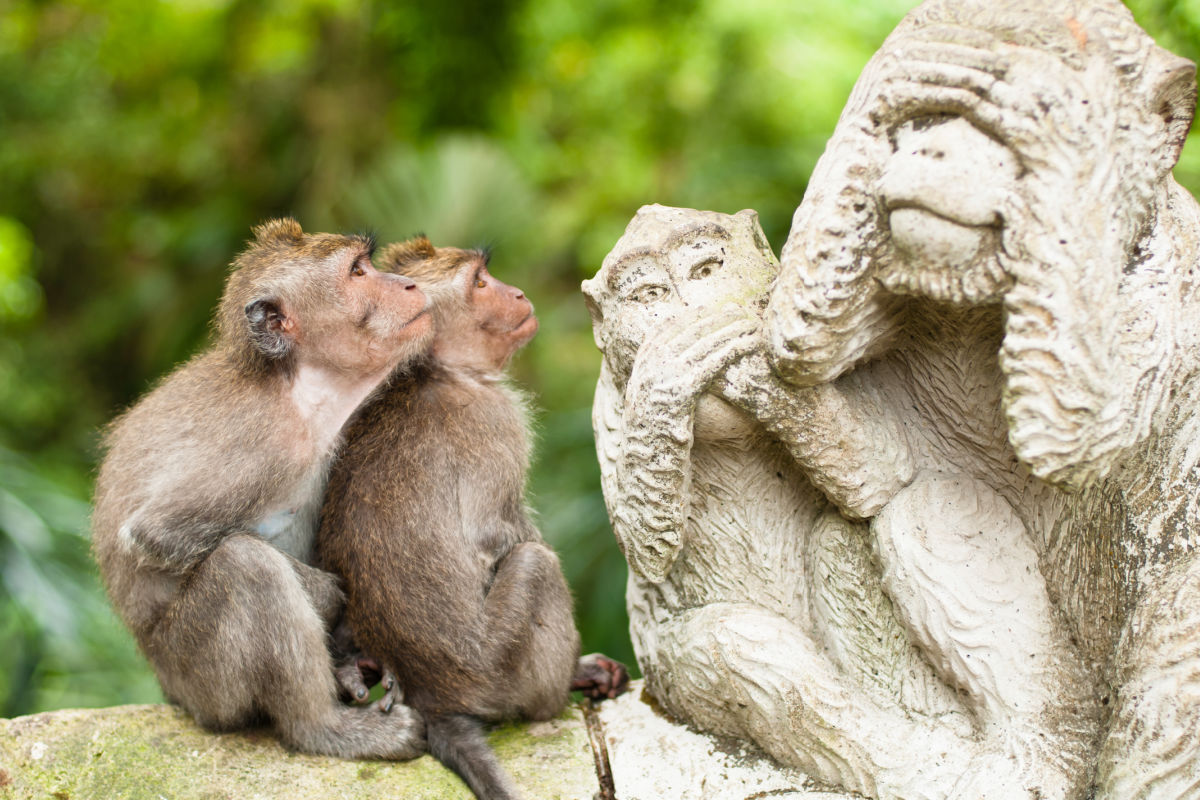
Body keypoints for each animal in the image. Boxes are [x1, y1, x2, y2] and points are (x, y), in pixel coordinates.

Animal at [91, 218, 430, 759]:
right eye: (358, 272)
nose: (409, 285)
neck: (298, 386)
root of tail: (169, 689)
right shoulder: (265, 442)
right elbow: (155, 533)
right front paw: (329, 597)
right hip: (200, 679)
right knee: (246, 566)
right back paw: (325, 728)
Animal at [317, 236, 628, 800]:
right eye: (480, 283)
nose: (518, 292)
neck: (437, 369)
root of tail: (435, 697)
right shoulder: (496, 418)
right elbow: (496, 534)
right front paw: (583, 664)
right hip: (500, 670)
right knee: (535, 564)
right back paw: (562, 687)